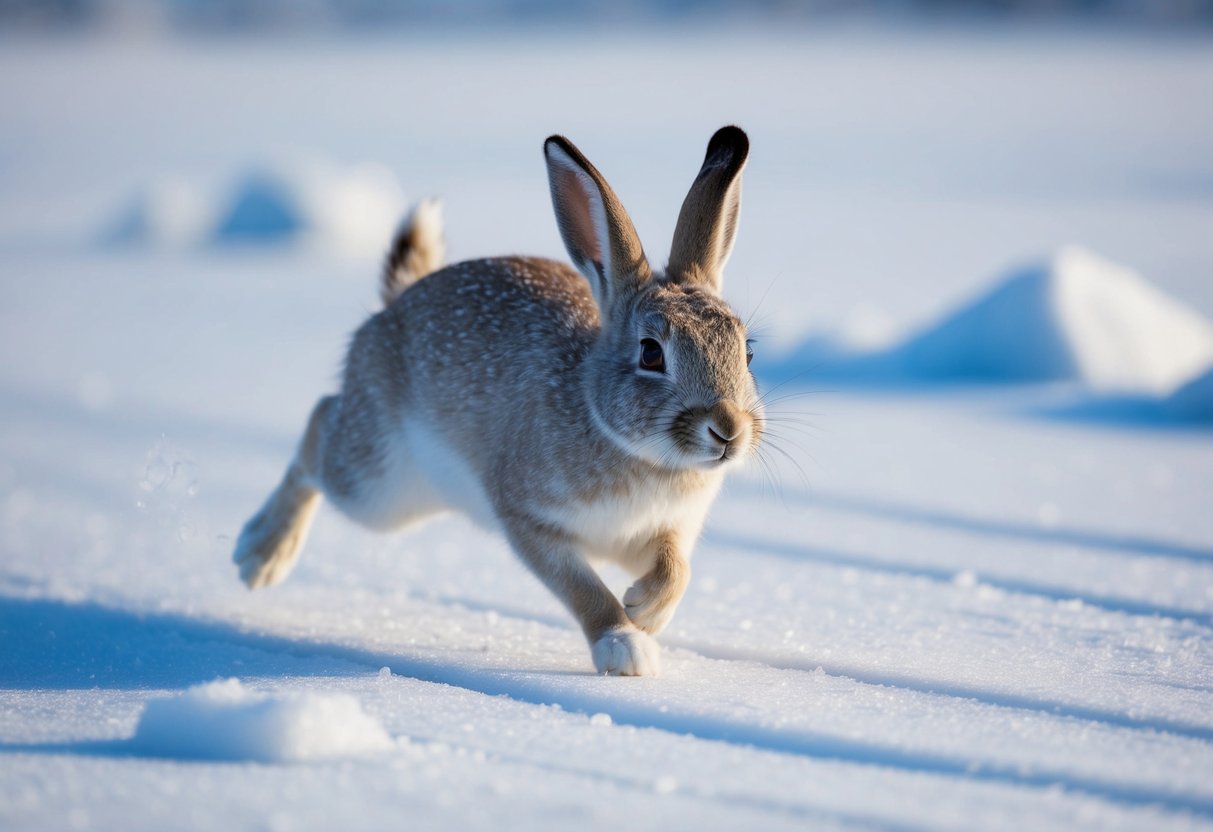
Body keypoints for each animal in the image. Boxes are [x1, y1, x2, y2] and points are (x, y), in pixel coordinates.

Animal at [232, 126, 763, 676]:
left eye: (746, 350)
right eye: (651, 353)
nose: (728, 430)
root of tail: (392, 308)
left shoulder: (663, 532)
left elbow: (676, 571)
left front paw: (645, 611)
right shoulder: (527, 517)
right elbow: (582, 589)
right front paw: (625, 646)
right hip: (378, 487)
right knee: (319, 429)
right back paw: (258, 555)